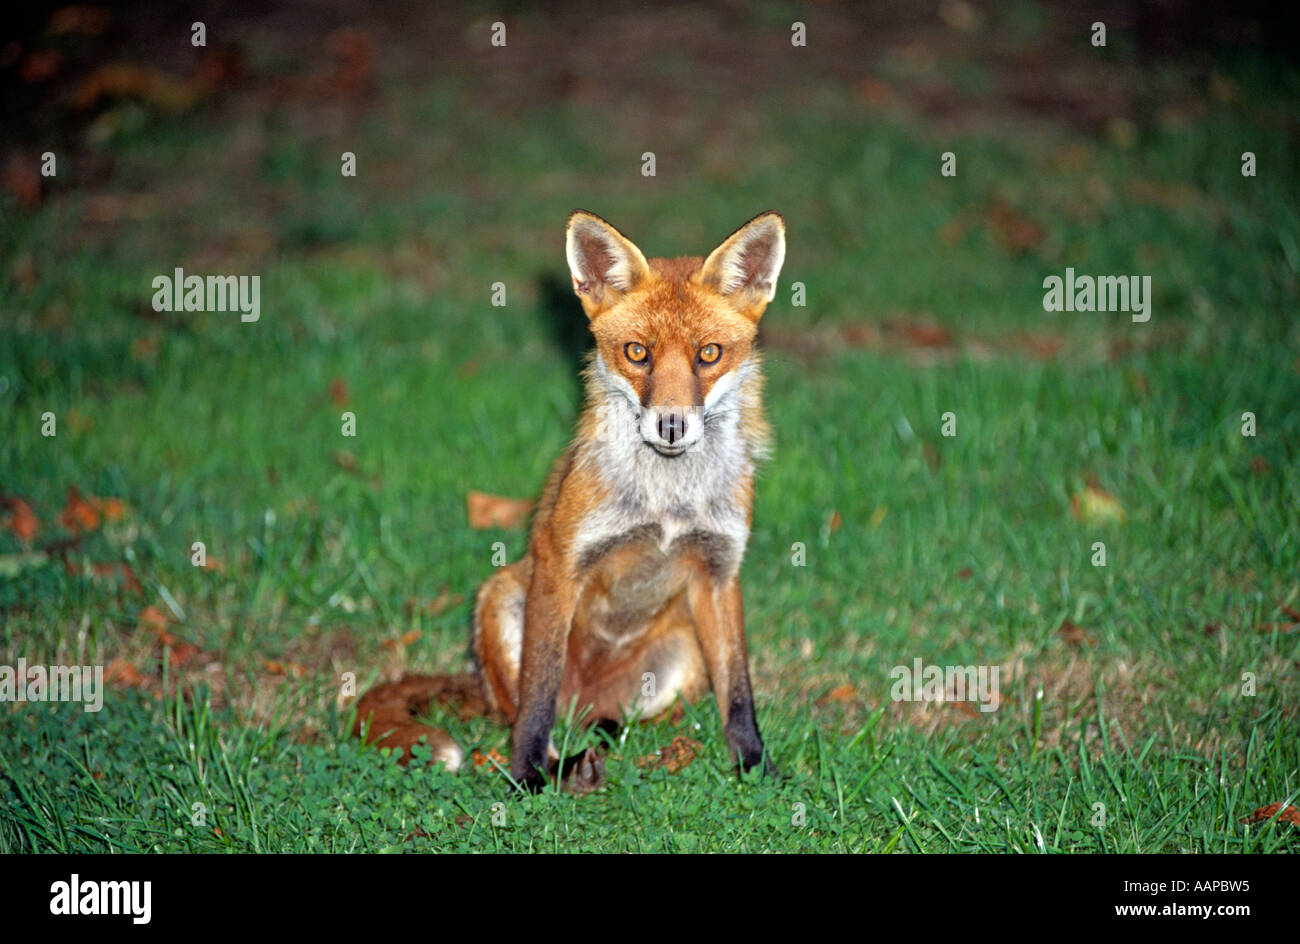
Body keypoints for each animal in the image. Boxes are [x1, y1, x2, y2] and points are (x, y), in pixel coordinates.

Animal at [353, 209, 786, 791]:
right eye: (637, 353)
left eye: (709, 354)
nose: (671, 426)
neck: (666, 503)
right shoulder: (561, 564)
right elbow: (537, 697)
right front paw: (528, 776)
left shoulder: (719, 572)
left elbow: (739, 693)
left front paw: (755, 765)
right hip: (502, 596)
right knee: (530, 709)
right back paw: (566, 765)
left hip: (685, 652)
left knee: (612, 718)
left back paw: (604, 735)